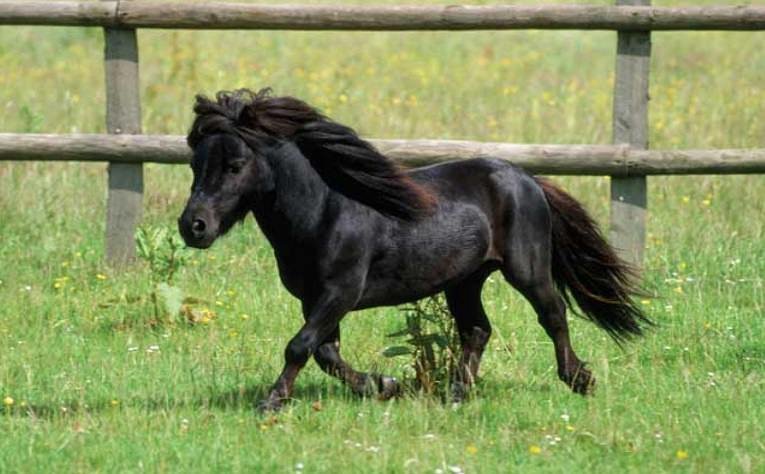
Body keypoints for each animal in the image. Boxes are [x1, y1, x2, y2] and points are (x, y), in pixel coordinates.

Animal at [178, 88, 651, 411]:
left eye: (235, 165)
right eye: (195, 164)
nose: (193, 227)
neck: (324, 212)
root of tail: (527, 178)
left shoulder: (340, 293)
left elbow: (299, 346)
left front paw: (272, 402)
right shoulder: (313, 299)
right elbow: (325, 353)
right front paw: (386, 386)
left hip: (526, 269)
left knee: (552, 314)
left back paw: (578, 379)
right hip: (465, 280)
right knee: (477, 329)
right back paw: (457, 394)